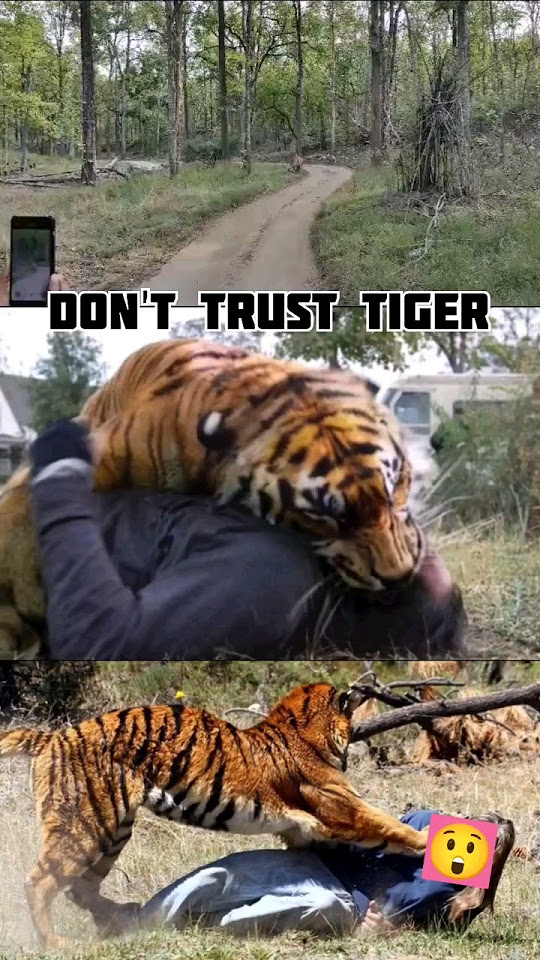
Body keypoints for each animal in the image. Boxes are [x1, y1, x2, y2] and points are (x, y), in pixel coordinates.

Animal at [0, 682, 428, 949]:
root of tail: (52, 736)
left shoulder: (307, 830)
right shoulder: (343, 810)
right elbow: (390, 826)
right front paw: (432, 841)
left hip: (113, 830)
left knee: (80, 887)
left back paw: (121, 916)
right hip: (86, 825)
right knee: (40, 882)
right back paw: (55, 942)